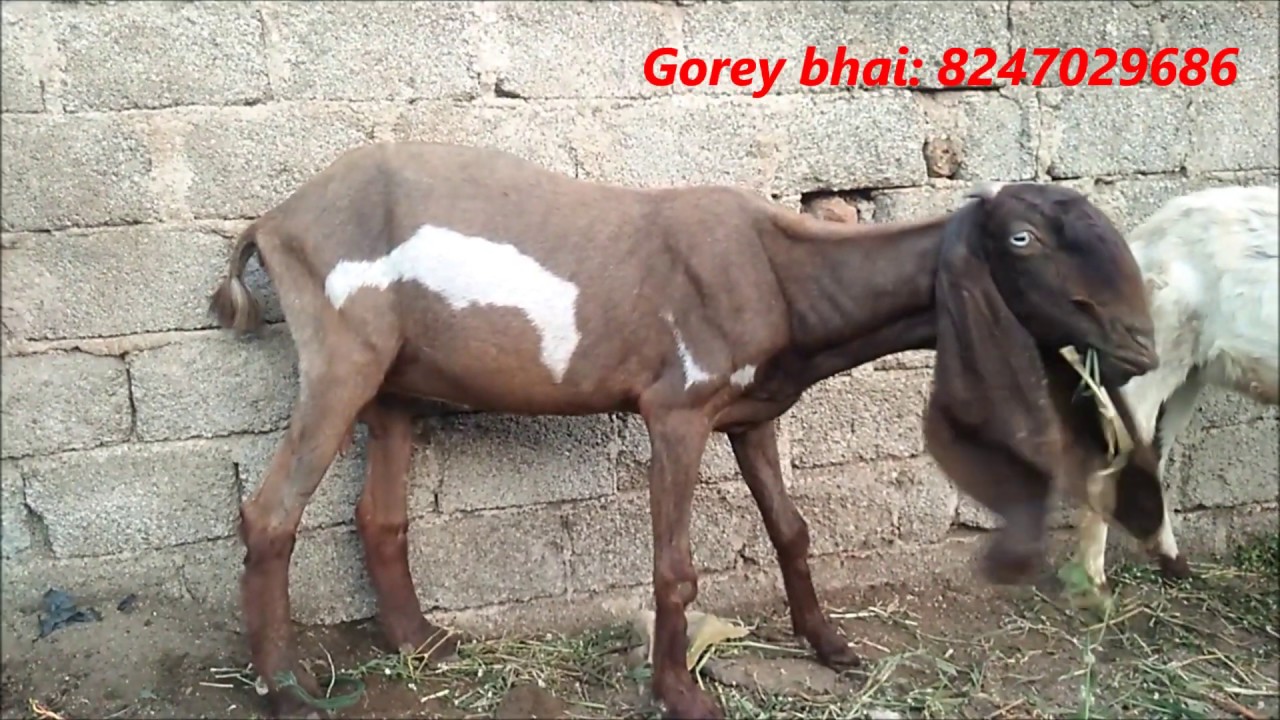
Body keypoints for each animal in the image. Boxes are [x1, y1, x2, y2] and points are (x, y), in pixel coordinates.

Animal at [208, 141, 1164, 720]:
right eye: (1022, 239)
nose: (1140, 344)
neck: (782, 268)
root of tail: (275, 220)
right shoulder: (677, 408)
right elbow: (674, 564)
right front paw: (679, 692)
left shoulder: (753, 413)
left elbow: (791, 530)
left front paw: (832, 645)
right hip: (341, 350)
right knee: (270, 514)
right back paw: (283, 687)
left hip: (398, 382)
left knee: (379, 512)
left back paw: (420, 642)